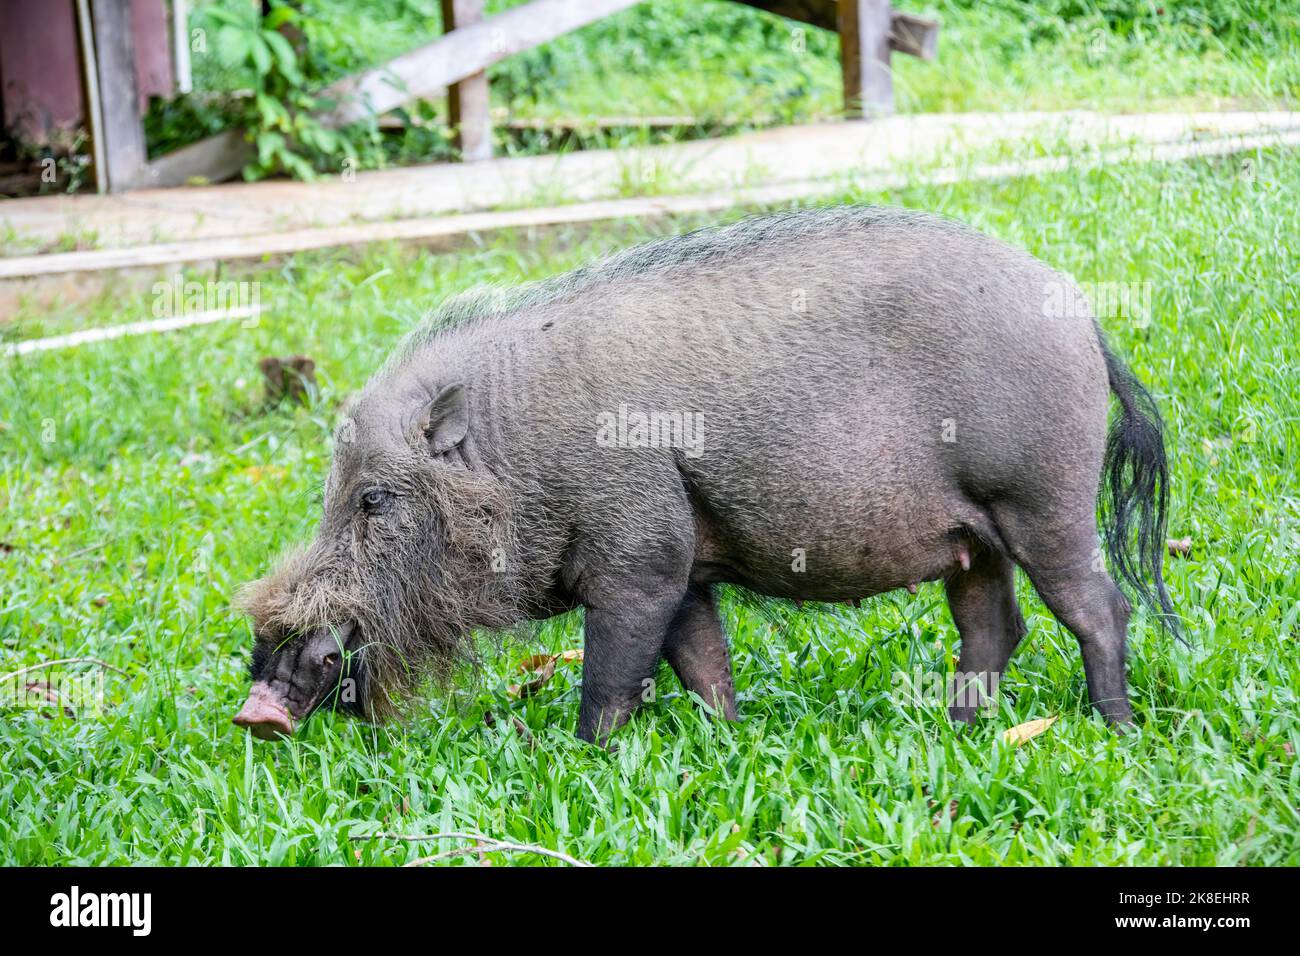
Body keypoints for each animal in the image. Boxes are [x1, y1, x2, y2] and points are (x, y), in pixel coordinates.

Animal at [234, 206, 1178, 744]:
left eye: (372, 500)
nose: (256, 712)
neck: (509, 457)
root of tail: (1083, 316)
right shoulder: (681, 564)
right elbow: (702, 662)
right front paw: (729, 740)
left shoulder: (638, 560)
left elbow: (613, 678)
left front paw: (587, 757)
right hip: (973, 538)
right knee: (995, 625)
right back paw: (958, 733)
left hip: (1043, 499)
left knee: (1100, 607)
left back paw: (1119, 732)